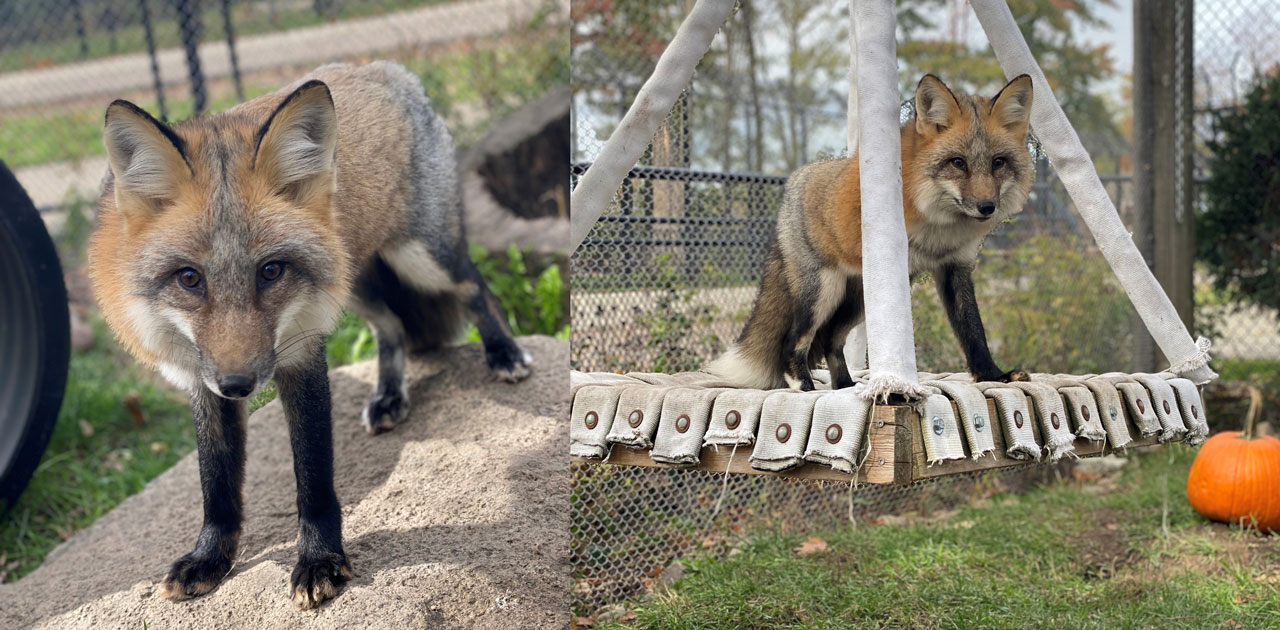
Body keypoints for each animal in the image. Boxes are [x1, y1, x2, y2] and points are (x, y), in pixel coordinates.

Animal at [86, 61, 532, 608]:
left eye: (271, 271)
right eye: (189, 279)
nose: (238, 385)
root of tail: (385, 69)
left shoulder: (301, 353)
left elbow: (314, 479)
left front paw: (321, 561)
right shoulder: (200, 376)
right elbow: (217, 483)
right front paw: (210, 558)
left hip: (420, 259)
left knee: (475, 285)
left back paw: (504, 352)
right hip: (352, 280)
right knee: (392, 328)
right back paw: (389, 396)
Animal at [706, 74, 1035, 392]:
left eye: (998, 163)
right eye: (958, 163)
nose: (986, 207)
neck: (938, 228)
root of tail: (795, 181)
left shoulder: (955, 267)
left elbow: (973, 331)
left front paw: (994, 376)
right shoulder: (897, 270)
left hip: (856, 300)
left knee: (830, 339)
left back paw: (844, 386)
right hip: (824, 292)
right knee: (794, 339)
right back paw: (804, 385)